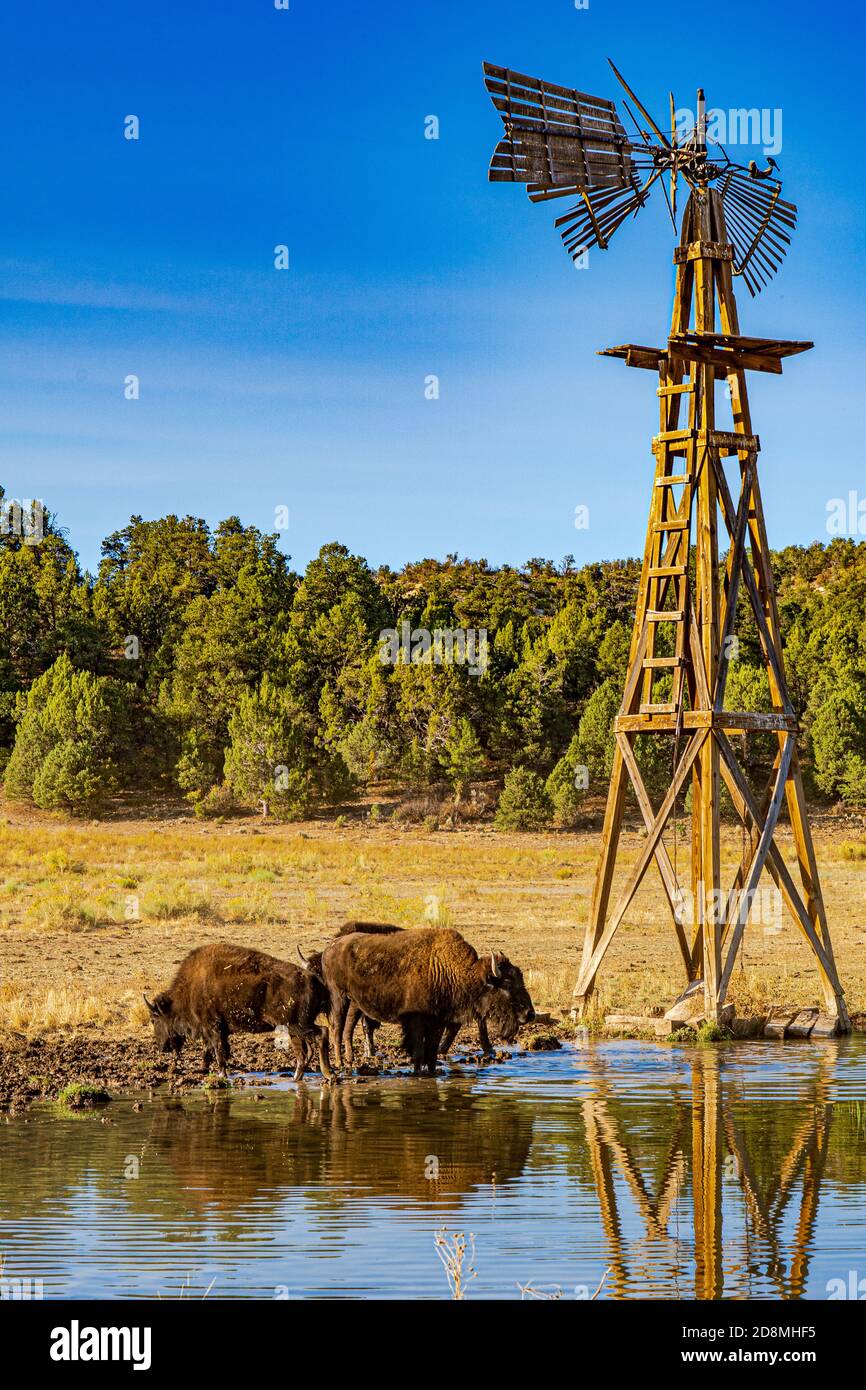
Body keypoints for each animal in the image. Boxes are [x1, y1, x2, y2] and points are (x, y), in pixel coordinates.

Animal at [144, 943, 332, 1082]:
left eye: (154, 1019)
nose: (162, 1047)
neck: (189, 990)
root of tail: (316, 980)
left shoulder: (213, 1028)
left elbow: (218, 1051)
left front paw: (221, 1075)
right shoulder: (213, 1030)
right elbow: (209, 1051)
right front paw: (203, 1069)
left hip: (298, 1025)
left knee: (320, 1035)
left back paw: (327, 1074)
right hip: (294, 1028)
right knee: (305, 1051)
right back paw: (297, 1078)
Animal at [321, 925, 535, 1075]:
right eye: (508, 984)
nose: (529, 1014)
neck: (449, 970)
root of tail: (330, 947)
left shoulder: (438, 1022)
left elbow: (431, 1052)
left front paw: (432, 1072)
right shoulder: (416, 1022)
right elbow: (418, 1052)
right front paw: (418, 1073)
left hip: (354, 1002)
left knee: (347, 1029)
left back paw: (349, 1060)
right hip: (339, 997)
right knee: (337, 1029)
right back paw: (340, 1062)